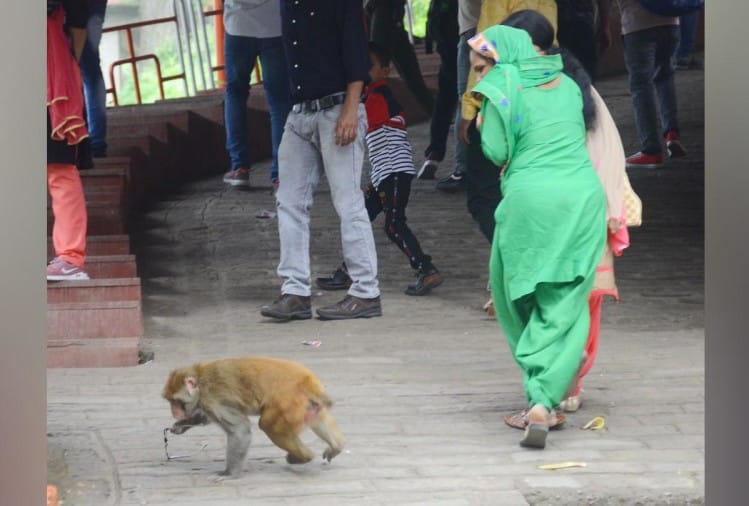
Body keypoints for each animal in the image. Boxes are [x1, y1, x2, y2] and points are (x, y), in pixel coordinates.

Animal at [162, 356, 345, 478]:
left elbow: (240, 430)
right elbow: (206, 417)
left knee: (267, 425)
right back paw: (336, 447)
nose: (174, 411)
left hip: (288, 403)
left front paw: (229, 473)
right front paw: (180, 425)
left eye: (177, 402)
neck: (201, 379)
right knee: (318, 419)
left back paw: (303, 456)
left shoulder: (212, 399)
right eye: (170, 401)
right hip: (309, 405)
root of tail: (307, 381)